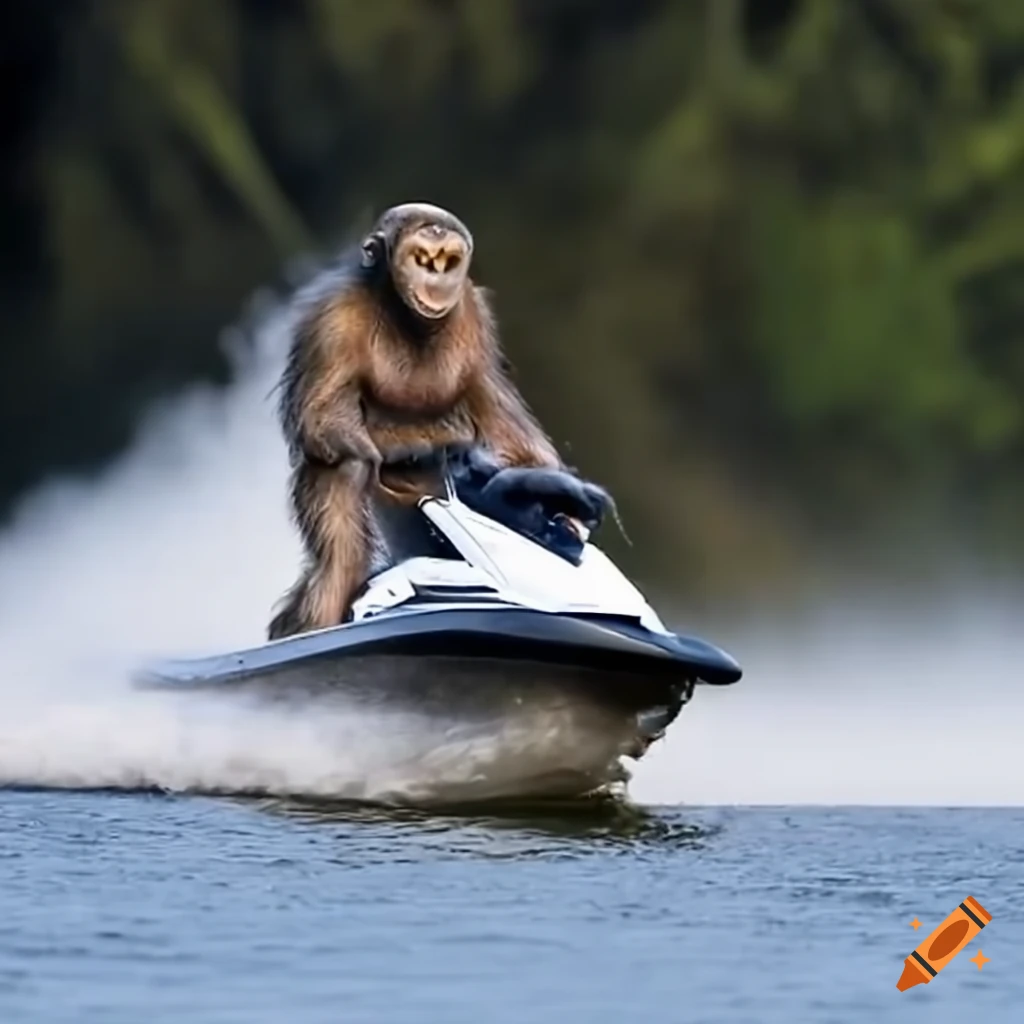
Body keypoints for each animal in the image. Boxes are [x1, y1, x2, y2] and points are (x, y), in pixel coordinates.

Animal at [267, 202, 562, 640]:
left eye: (447, 261)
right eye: (421, 257)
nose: (436, 276)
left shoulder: (475, 320)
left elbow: (504, 422)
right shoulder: (333, 321)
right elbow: (319, 414)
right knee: (344, 496)